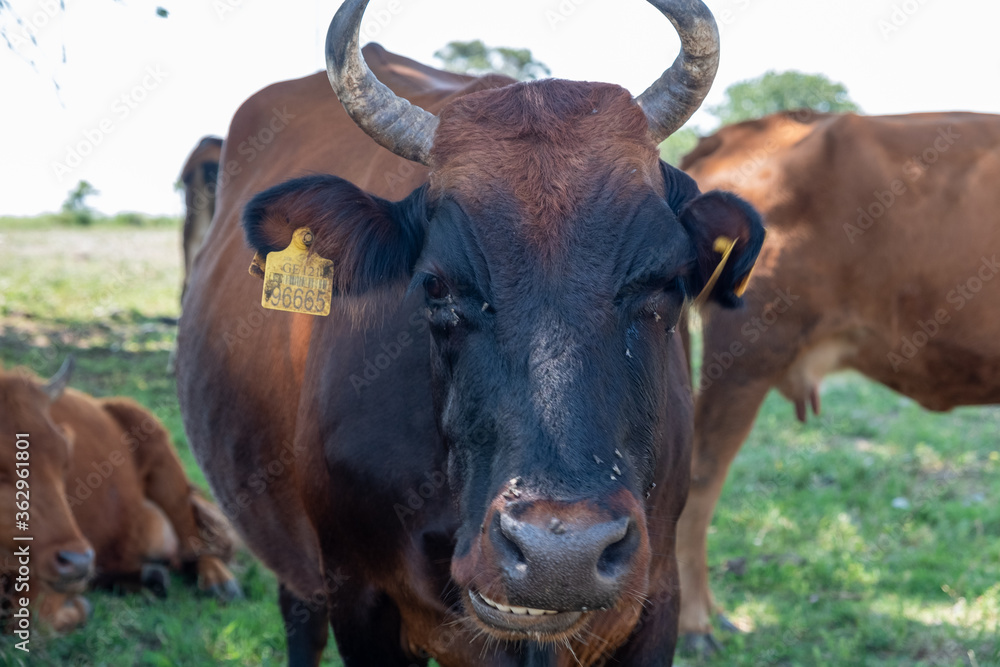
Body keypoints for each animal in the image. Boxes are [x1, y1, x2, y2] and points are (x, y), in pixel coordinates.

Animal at [0, 359, 240, 635]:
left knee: (192, 541)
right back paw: (150, 578)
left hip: (166, 470)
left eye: (65, 460)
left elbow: (32, 621)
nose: (78, 562)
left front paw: (81, 606)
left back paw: (220, 583)